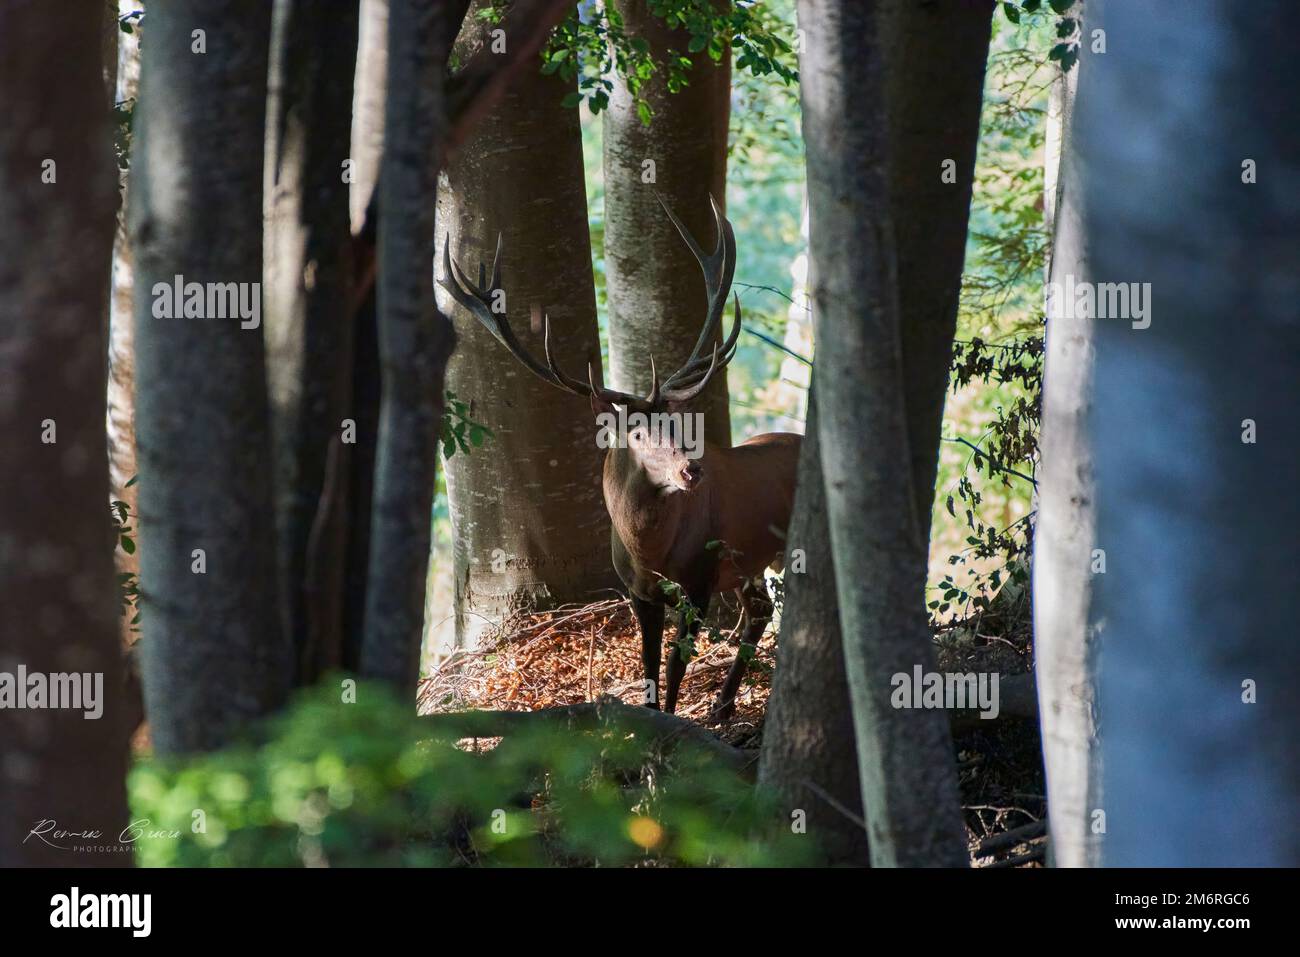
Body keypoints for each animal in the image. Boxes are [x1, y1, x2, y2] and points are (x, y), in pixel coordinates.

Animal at [438, 196, 800, 720]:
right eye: (638, 430)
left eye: (678, 424)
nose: (692, 469)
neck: (648, 550)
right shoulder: (639, 591)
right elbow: (648, 666)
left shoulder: (700, 578)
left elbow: (675, 663)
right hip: (750, 561)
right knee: (761, 610)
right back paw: (723, 703)